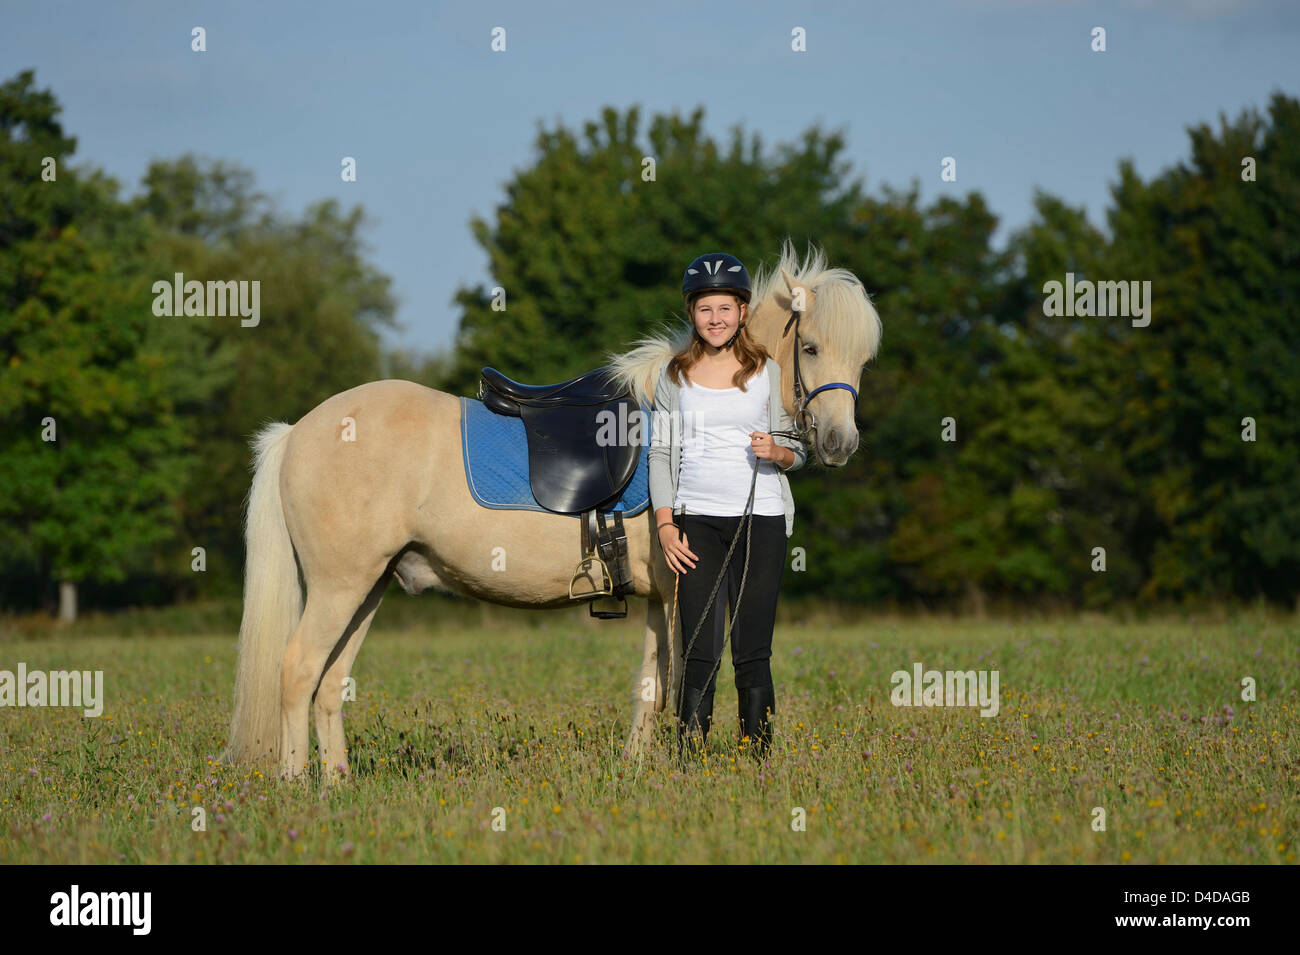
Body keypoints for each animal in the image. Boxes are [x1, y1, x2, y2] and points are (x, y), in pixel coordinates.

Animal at [222, 240, 883, 780]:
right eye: (811, 347)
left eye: (862, 360)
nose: (839, 443)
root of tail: (297, 431)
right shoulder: (682, 590)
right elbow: (679, 681)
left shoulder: (659, 597)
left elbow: (651, 686)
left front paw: (635, 771)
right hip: (341, 585)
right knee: (298, 671)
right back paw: (297, 786)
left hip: (370, 584)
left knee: (331, 683)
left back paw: (338, 783)